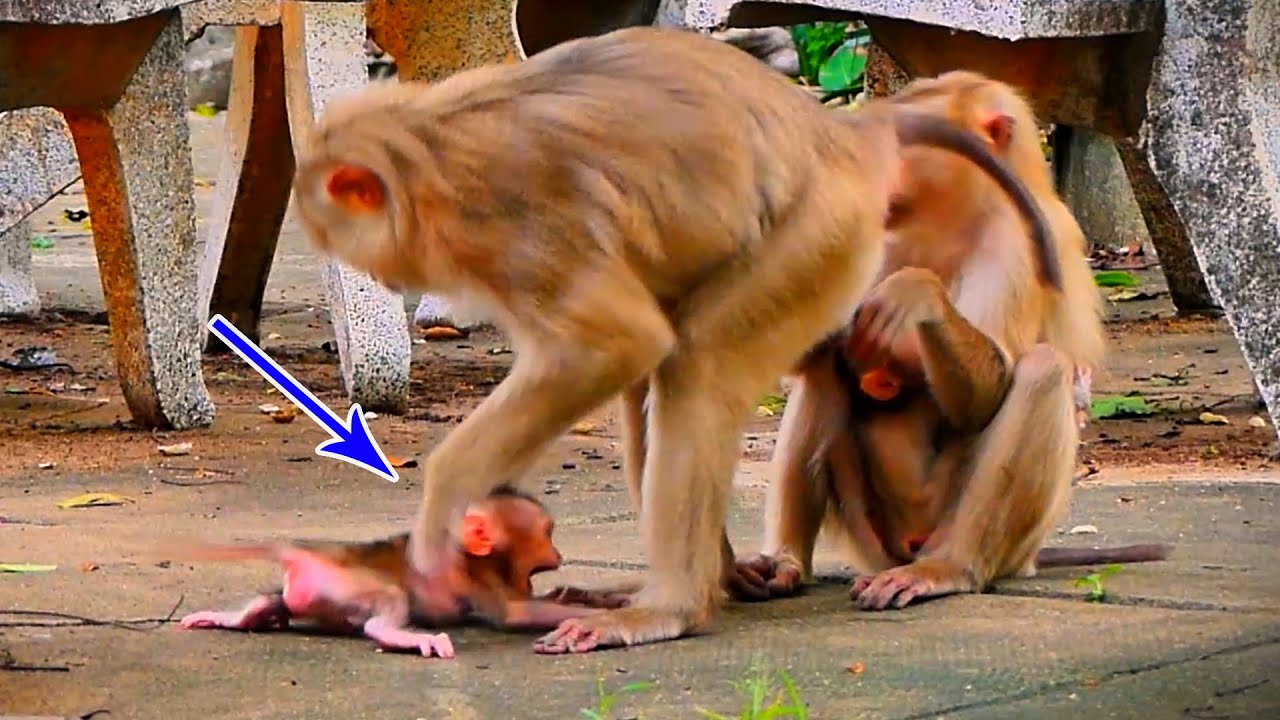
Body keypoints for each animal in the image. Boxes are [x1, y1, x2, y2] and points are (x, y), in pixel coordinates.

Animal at [174, 486, 598, 657]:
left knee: (271, 601)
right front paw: (592, 615)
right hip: (344, 584)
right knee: (386, 606)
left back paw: (237, 617)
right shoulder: (481, 575)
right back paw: (400, 635)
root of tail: (306, 555)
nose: (557, 553)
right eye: (547, 535)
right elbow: (516, 613)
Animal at [289, 26, 1065, 654]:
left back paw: (674, 607)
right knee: (659, 370)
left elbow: (614, 344)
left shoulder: (515, 227)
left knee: (694, 364)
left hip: (824, 232)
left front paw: (441, 520)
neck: (429, 154)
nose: (375, 274)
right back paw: (711, 576)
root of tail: (843, 134)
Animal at [725, 70, 1172, 612]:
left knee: (1043, 370)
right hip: (872, 534)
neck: (956, 212)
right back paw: (785, 562)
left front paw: (917, 294)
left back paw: (950, 568)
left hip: (993, 539)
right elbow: (815, 350)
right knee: (827, 371)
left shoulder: (1018, 240)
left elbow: (983, 396)